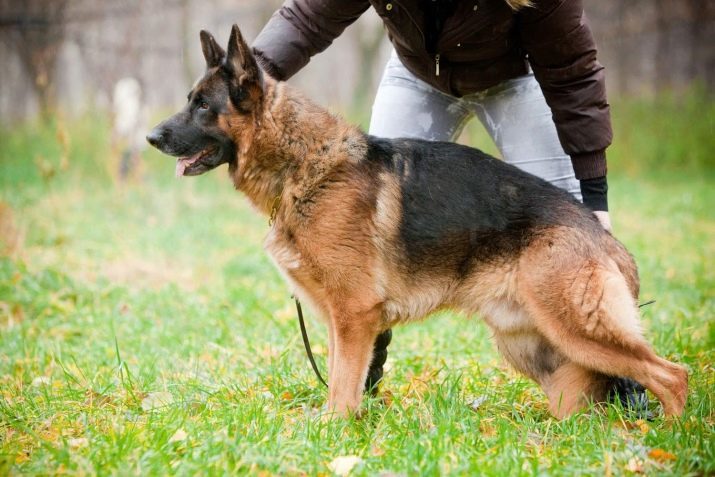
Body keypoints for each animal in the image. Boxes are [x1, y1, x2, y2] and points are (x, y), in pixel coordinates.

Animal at [145, 26, 688, 418]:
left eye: (202, 105)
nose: (150, 137)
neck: (305, 165)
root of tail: (604, 238)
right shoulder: (342, 322)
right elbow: (344, 379)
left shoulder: (354, 315)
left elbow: (342, 388)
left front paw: (333, 434)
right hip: (530, 345)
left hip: (576, 329)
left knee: (671, 375)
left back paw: (671, 439)